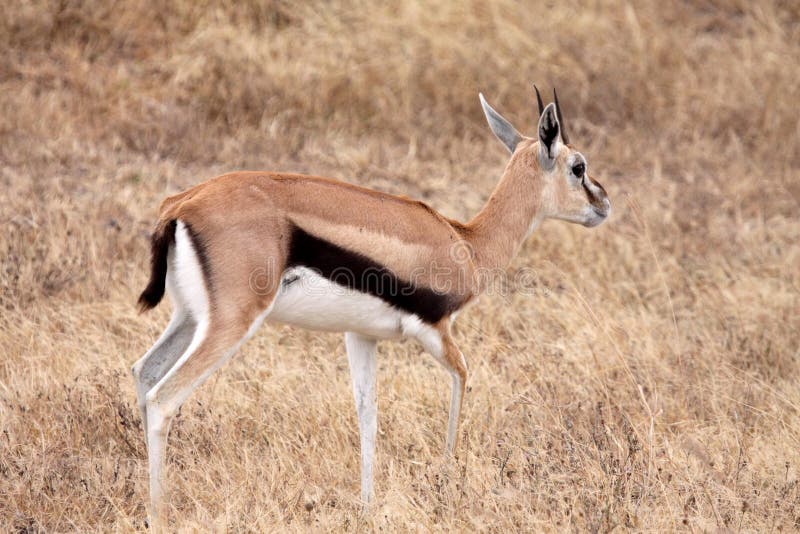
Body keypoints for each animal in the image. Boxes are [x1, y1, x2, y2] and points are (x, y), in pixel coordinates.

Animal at [131, 87, 610, 524]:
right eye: (578, 166)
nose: (604, 203)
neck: (467, 244)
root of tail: (181, 204)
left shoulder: (360, 335)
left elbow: (368, 415)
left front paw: (366, 506)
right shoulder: (435, 331)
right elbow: (461, 382)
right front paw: (446, 484)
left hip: (190, 318)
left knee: (144, 372)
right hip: (232, 322)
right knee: (163, 398)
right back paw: (159, 515)